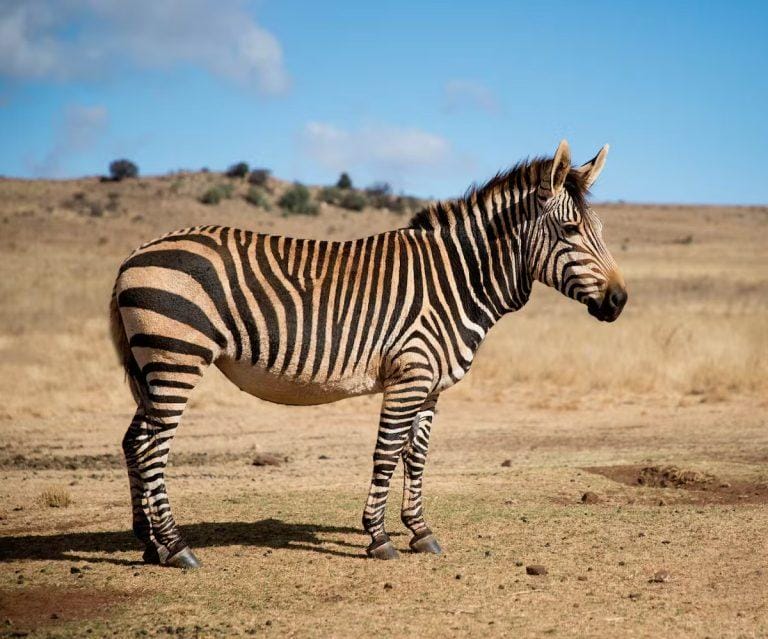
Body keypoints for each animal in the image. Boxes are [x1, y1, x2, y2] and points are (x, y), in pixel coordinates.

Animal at [110, 140, 627, 568]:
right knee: (154, 449)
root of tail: (133, 256)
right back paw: (177, 547)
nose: (620, 301)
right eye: (570, 229)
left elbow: (416, 457)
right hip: (176, 359)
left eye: (600, 229)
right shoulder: (409, 376)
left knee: (135, 441)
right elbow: (386, 453)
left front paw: (421, 532)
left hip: (151, 367)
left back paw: (149, 543)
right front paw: (379, 538)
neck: (459, 280)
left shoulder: (430, 386)